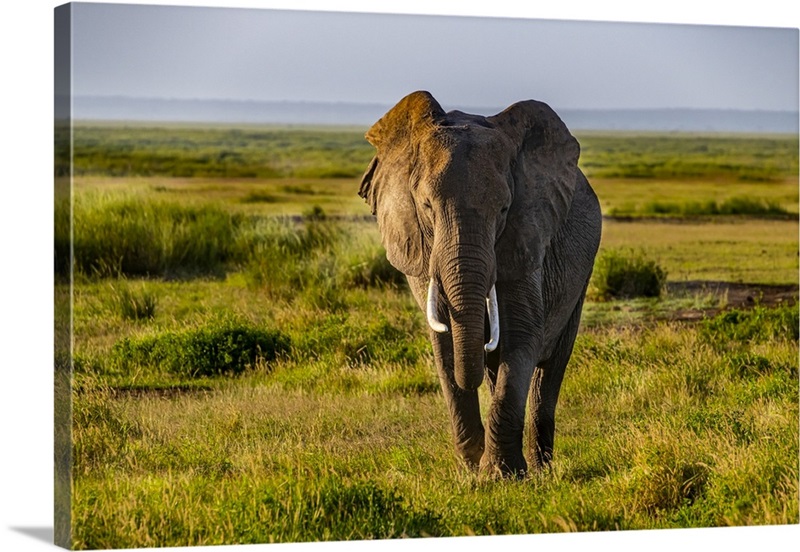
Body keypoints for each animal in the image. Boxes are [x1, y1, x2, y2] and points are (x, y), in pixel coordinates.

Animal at [358, 91, 602, 478]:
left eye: (503, 210)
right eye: (426, 206)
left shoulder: (526, 238)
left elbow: (521, 336)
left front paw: (501, 475)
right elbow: (444, 346)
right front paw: (472, 469)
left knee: (549, 371)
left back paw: (542, 470)